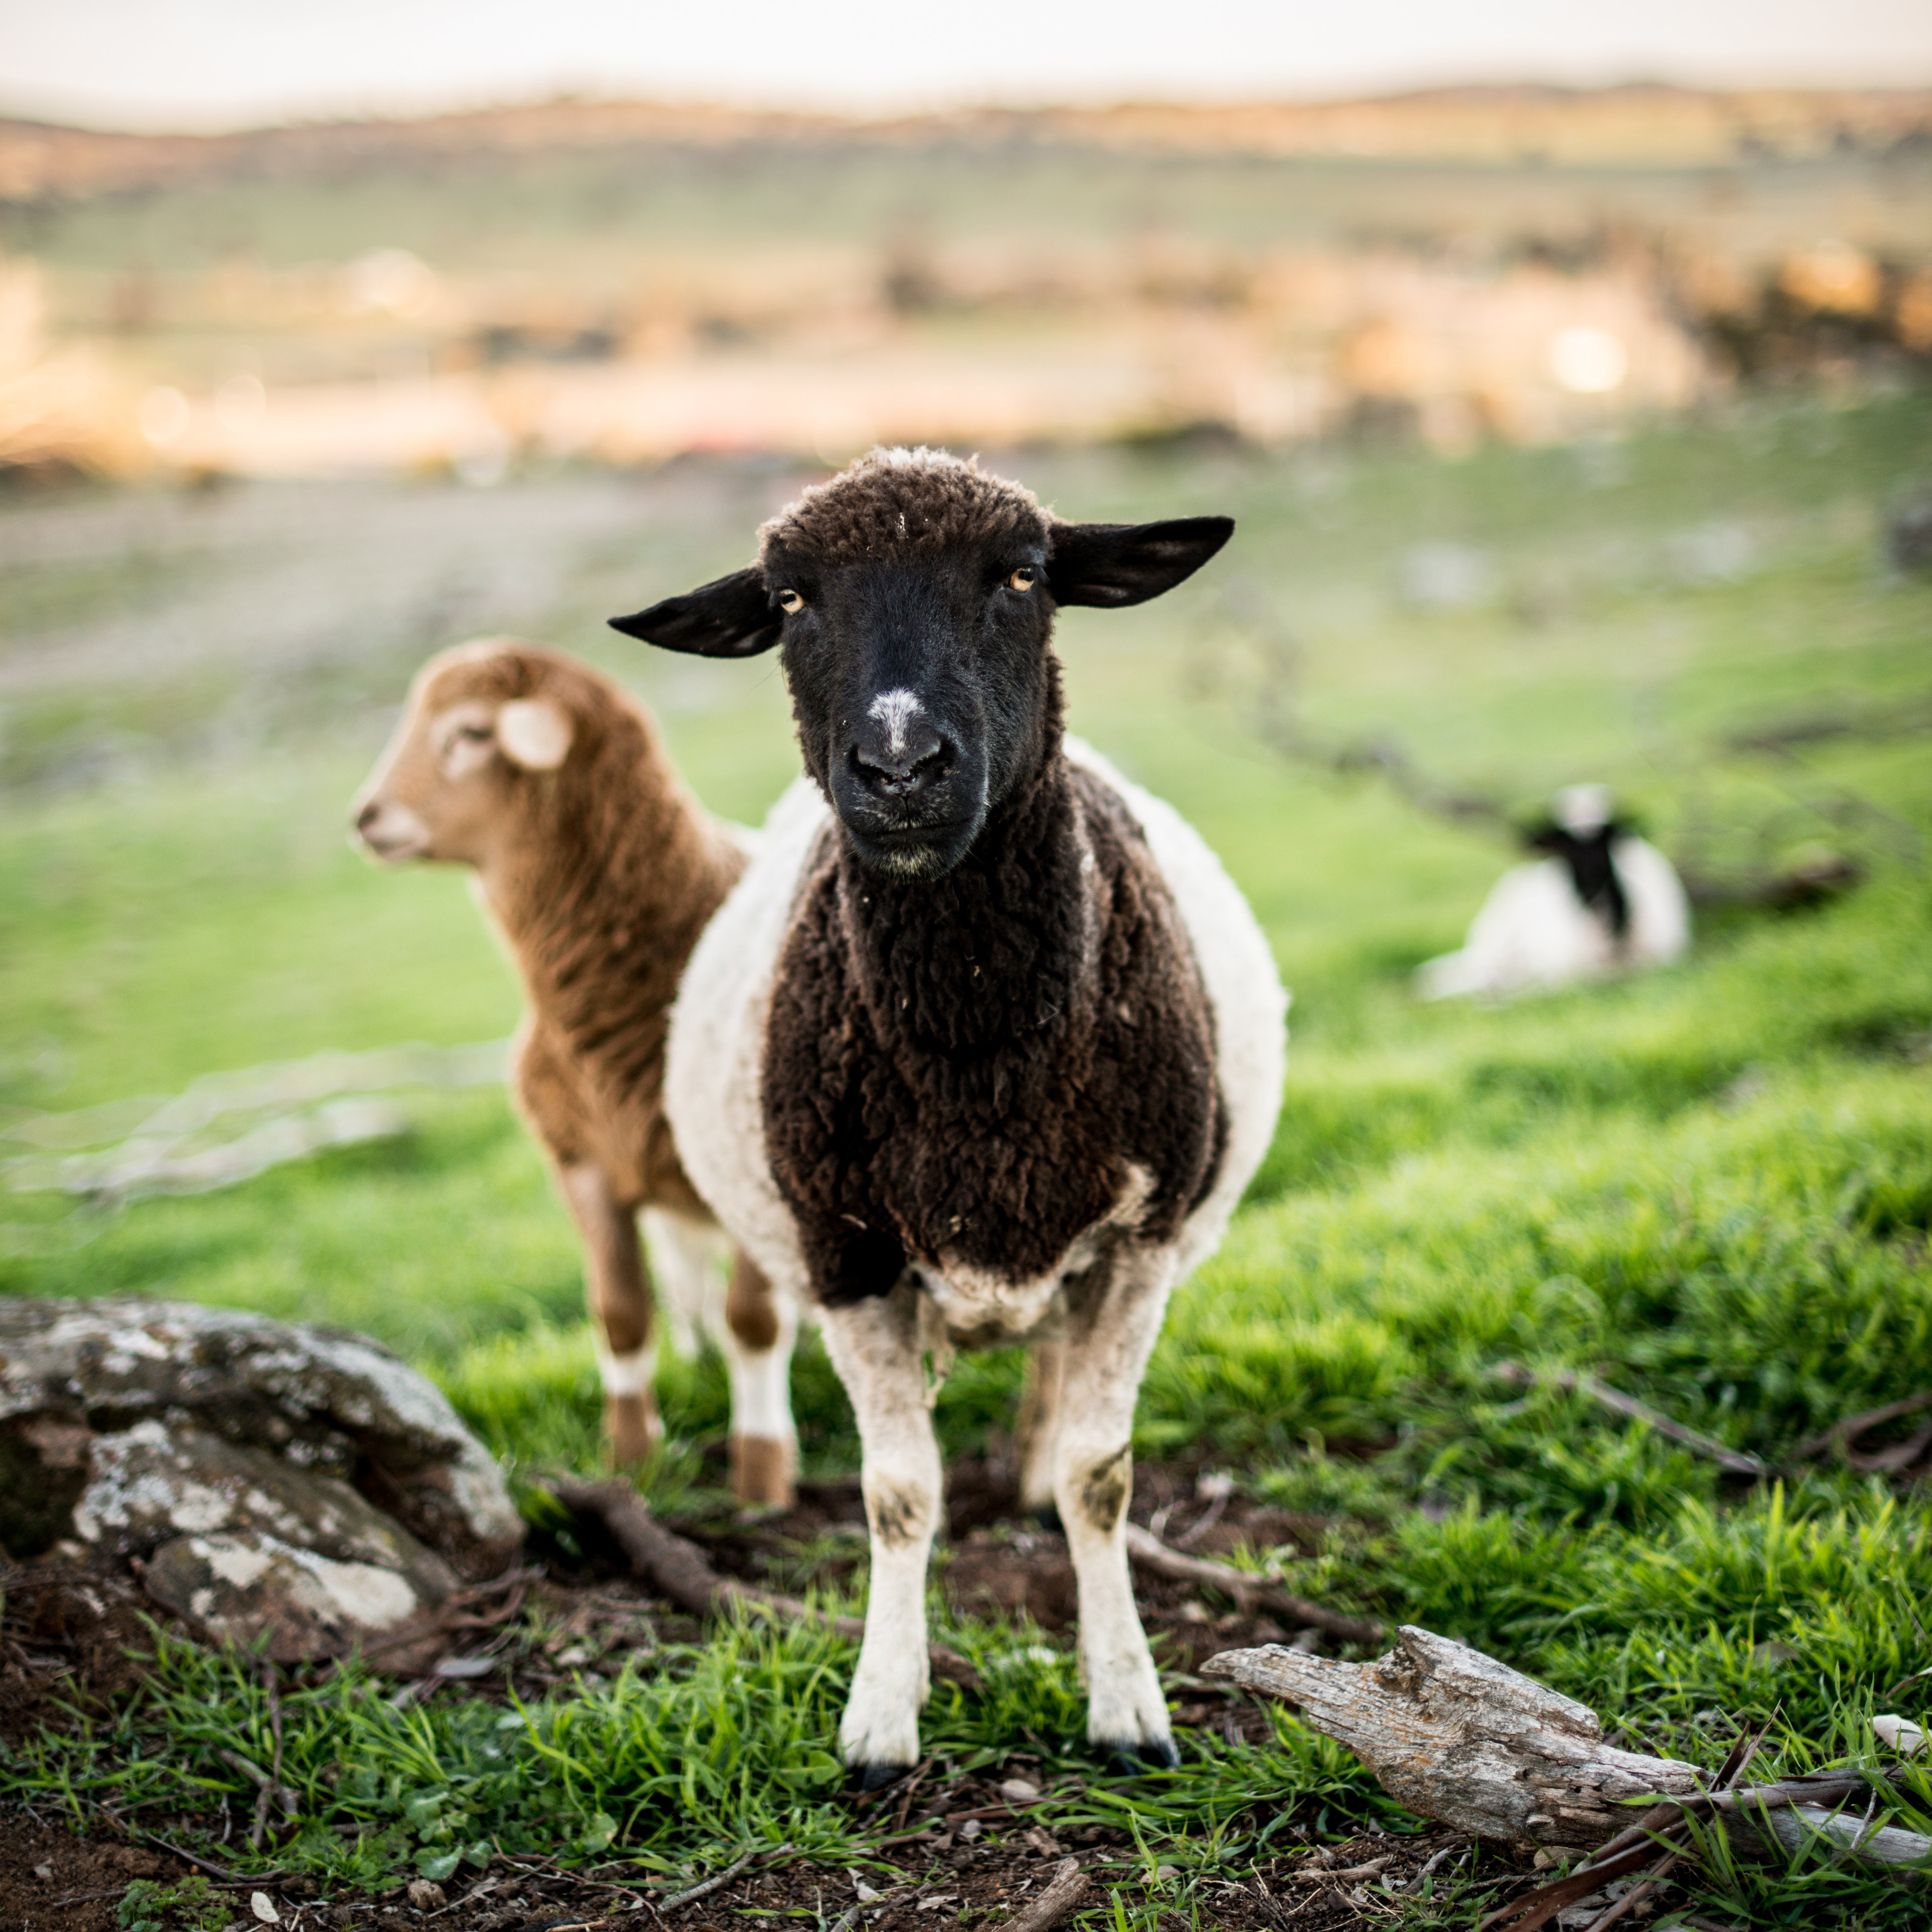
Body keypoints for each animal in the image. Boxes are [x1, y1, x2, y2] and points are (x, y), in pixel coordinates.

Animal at [350, 639, 799, 1504]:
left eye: (471, 732)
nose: (367, 816)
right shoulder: (582, 1162)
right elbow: (619, 1313)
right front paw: (630, 1458)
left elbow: (755, 1322)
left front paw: (762, 1473)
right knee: (684, 1273)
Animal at [610, 448, 1287, 1783]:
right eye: (790, 600)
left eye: (1022, 575)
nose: (901, 767)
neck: (978, 1057)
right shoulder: (846, 1256)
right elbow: (897, 1495)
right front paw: (881, 1718)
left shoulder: (1140, 1241)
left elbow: (1100, 1475)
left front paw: (1128, 1709)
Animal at [1416, 783, 1691, 1000]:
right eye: (1561, 844)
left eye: (1608, 838)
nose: (1591, 888)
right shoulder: (1564, 974)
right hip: (1496, 942)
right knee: (1476, 973)